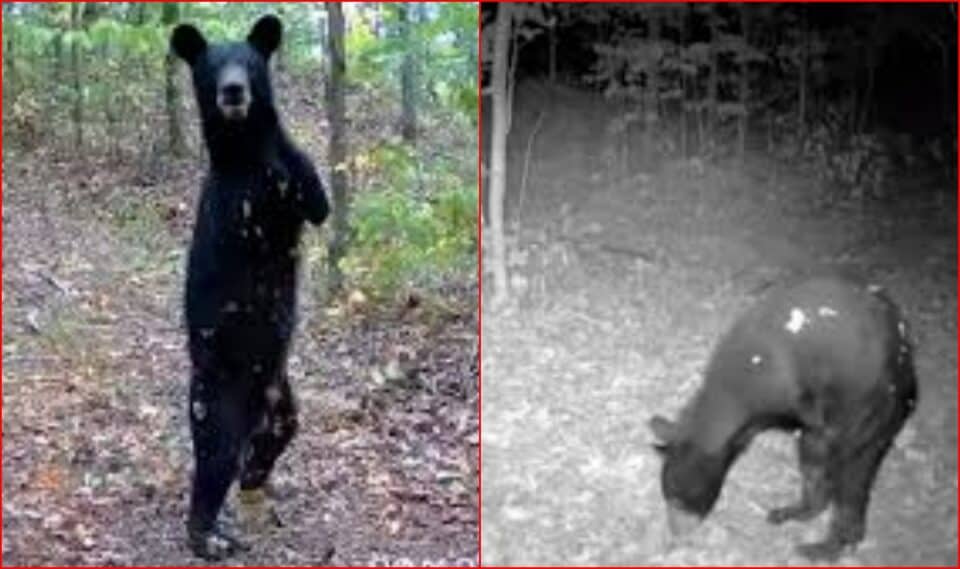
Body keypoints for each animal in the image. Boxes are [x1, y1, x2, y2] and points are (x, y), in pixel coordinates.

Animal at [171, 15, 329, 560]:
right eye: (212, 67)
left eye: (249, 63)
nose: (233, 91)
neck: (243, 146)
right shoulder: (238, 202)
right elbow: (257, 211)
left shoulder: (298, 179)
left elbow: (315, 197)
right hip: (224, 391)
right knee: (215, 458)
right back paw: (208, 536)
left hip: (277, 386)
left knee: (281, 428)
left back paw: (254, 477)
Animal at [650, 276, 917, 561]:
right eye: (668, 497)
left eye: (682, 500)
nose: (676, 535)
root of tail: (907, 369)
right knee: (814, 461)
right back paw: (793, 512)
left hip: (871, 412)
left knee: (851, 476)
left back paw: (826, 547)